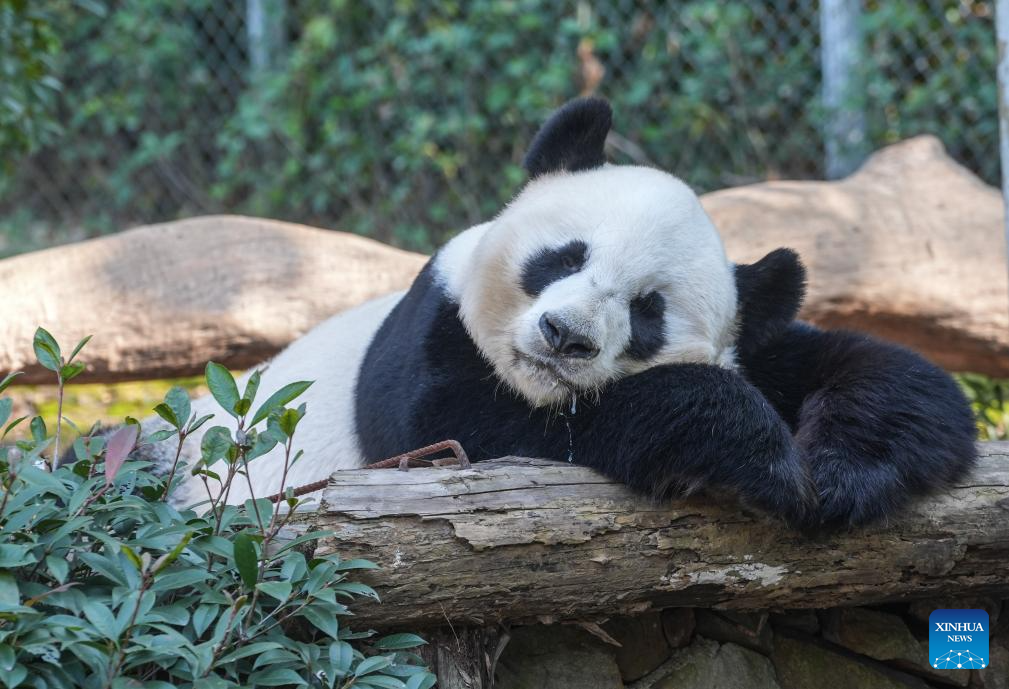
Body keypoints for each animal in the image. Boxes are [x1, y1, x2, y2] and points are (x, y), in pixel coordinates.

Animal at [168, 97, 977, 531]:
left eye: (648, 311)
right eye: (563, 257)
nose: (566, 337)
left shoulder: (760, 346)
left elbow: (893, 377)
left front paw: (840, 472)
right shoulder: (429, 343)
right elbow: (480, 433)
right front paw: (748, 447)